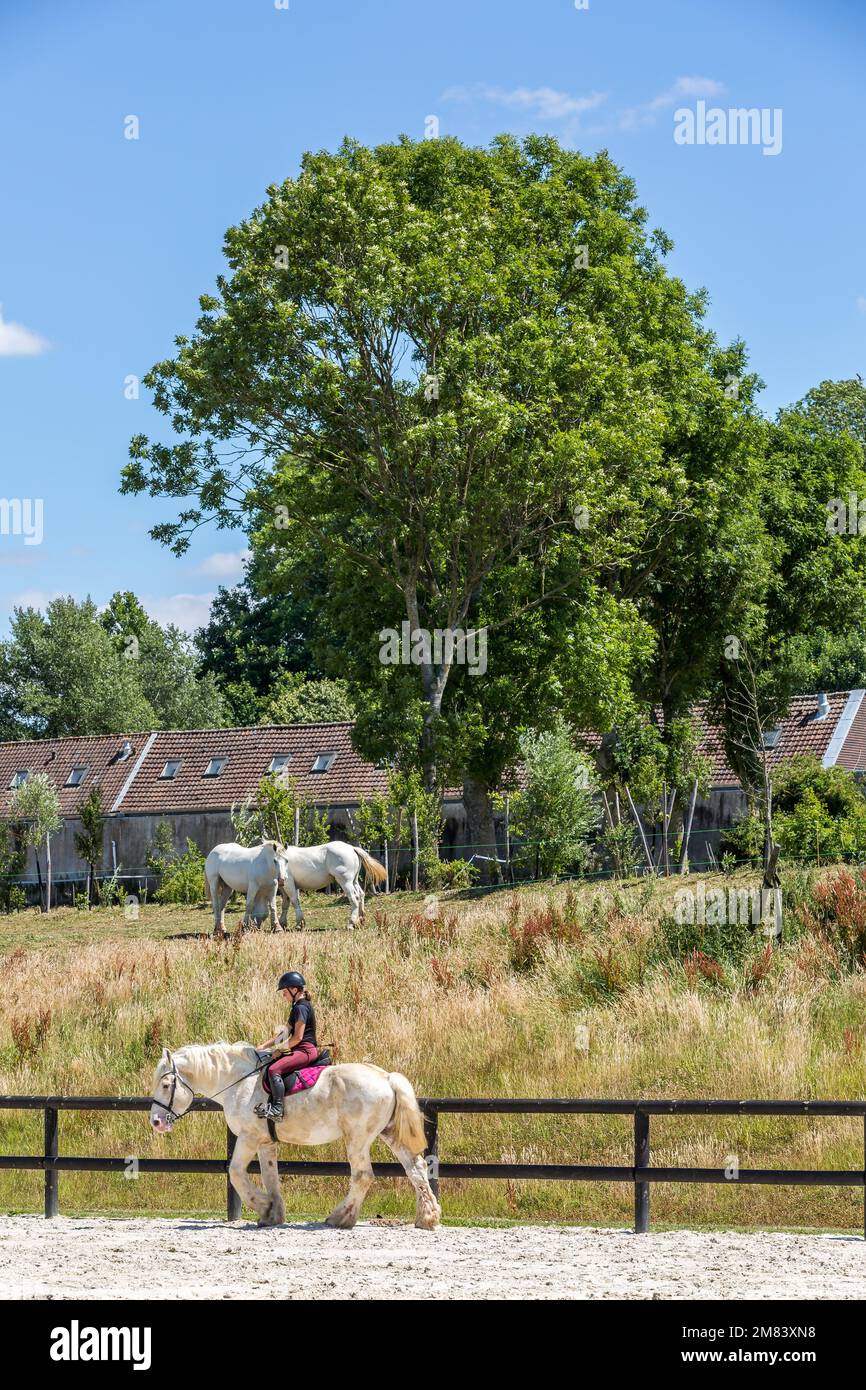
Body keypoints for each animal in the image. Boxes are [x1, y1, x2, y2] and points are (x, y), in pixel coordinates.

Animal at [149, 1043, 441, 1230]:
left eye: (165, 1085)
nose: (156, 1122)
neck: (240, 1083)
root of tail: (386, 1077)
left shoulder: (248, 1138)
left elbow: (235, 1173)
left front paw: (263, 1206)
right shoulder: (265, 1142)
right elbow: (270, 1176)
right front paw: (272, 1213)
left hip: (358, 1139)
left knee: (362, 1175)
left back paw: (340, 1218)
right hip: (389, 1134)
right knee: (416, 1169)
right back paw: (427, 1218)